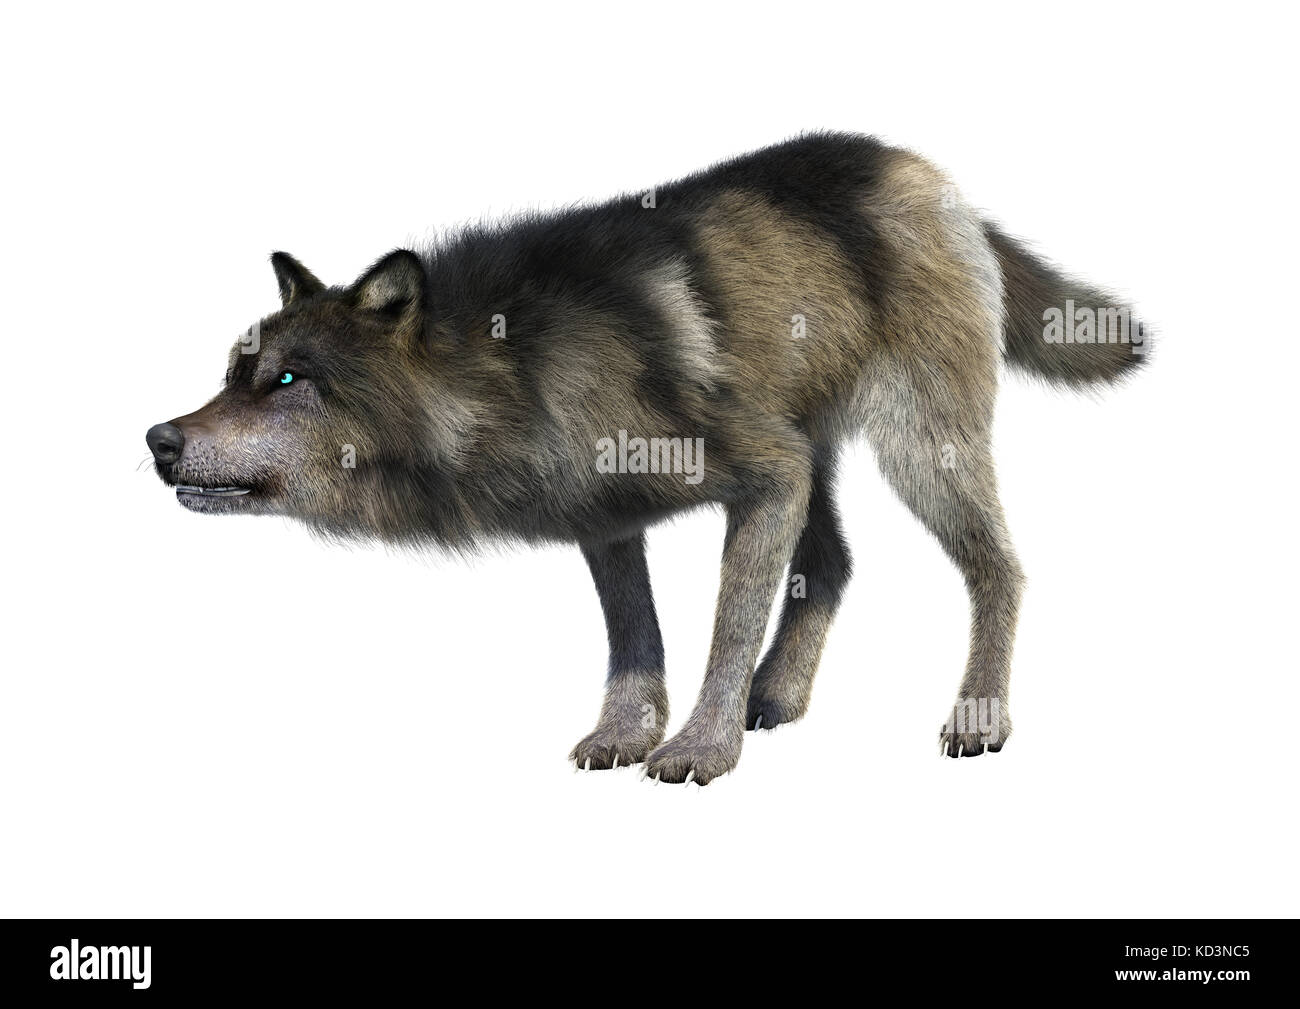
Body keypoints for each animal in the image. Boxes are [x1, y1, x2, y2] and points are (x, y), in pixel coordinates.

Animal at [147, 132, 1146, 784]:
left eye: (288, 380)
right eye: (234, 374)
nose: (158, 439)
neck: (510, 366)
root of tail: (926, 172)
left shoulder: (762, 471)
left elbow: (723, 627)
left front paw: (702, 748)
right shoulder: (611, 515)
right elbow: (634, 636)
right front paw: (630, 734)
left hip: (917, 450)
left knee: (999, 566)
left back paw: (978, 714)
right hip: (819, 452)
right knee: (834, 563)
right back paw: (779, 696)